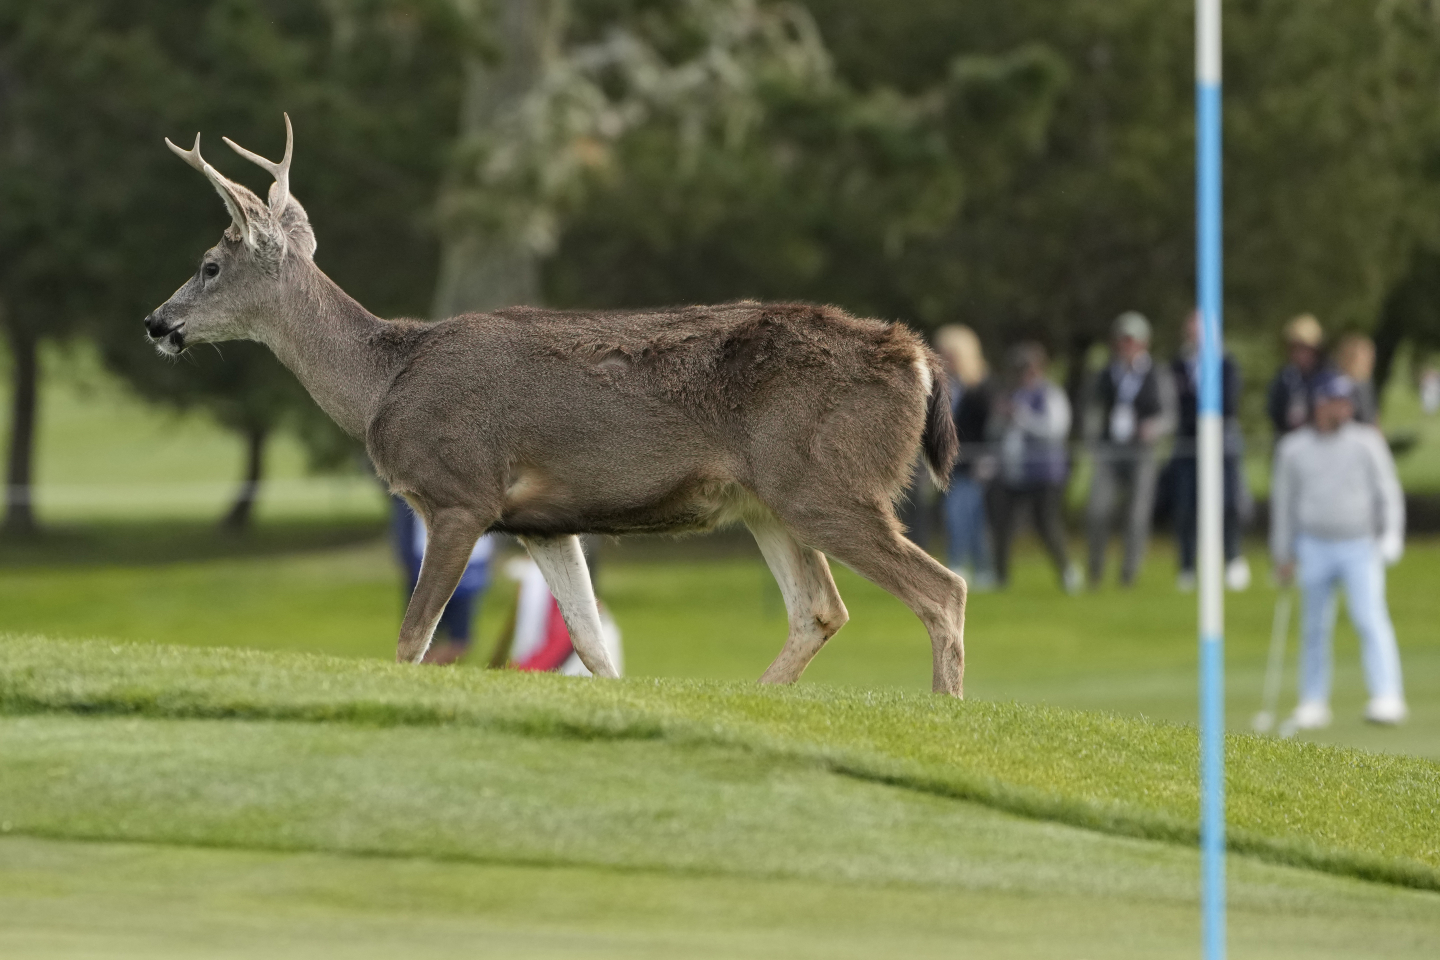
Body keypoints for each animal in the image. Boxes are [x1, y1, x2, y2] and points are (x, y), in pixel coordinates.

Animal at [143, 115, 970, 695]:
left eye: (209, 265)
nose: (156, 322)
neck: (383, 381)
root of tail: (920, 360)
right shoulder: (544, 522)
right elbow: (593, 647)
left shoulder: (461, 493)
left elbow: (414, 639)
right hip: (767, 500)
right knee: (820, 609)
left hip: (827, 480)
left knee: (945, 590)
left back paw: (942, 708)